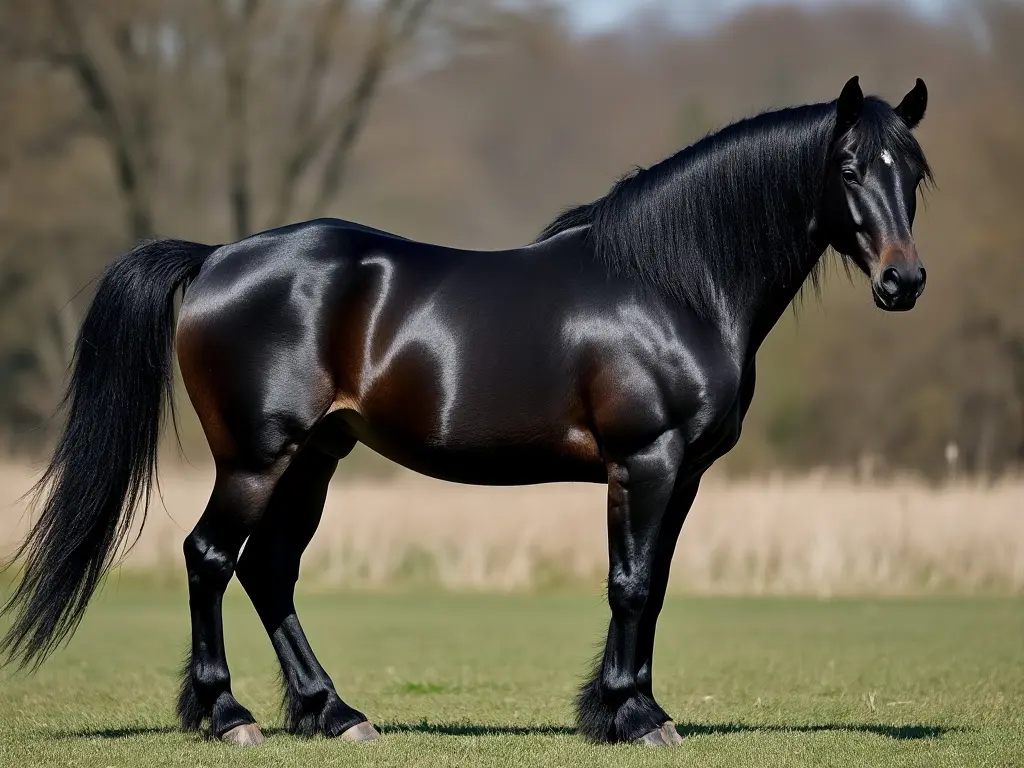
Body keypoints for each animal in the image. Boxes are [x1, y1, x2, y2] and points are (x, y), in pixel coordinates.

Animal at [1, 75, 931, 747]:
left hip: (315, 458)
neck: (673, 283)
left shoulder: (683, 473)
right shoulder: (647, 460)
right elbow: (631, 585)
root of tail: (219, 256)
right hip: (257, 458)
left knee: (269, 570)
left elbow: (654, 584)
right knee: (209, 558)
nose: (904, 281)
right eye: (850, 167)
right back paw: (229, 717)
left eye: (914, 173)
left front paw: (621, 708)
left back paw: (334, 713)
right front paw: (633, 717)